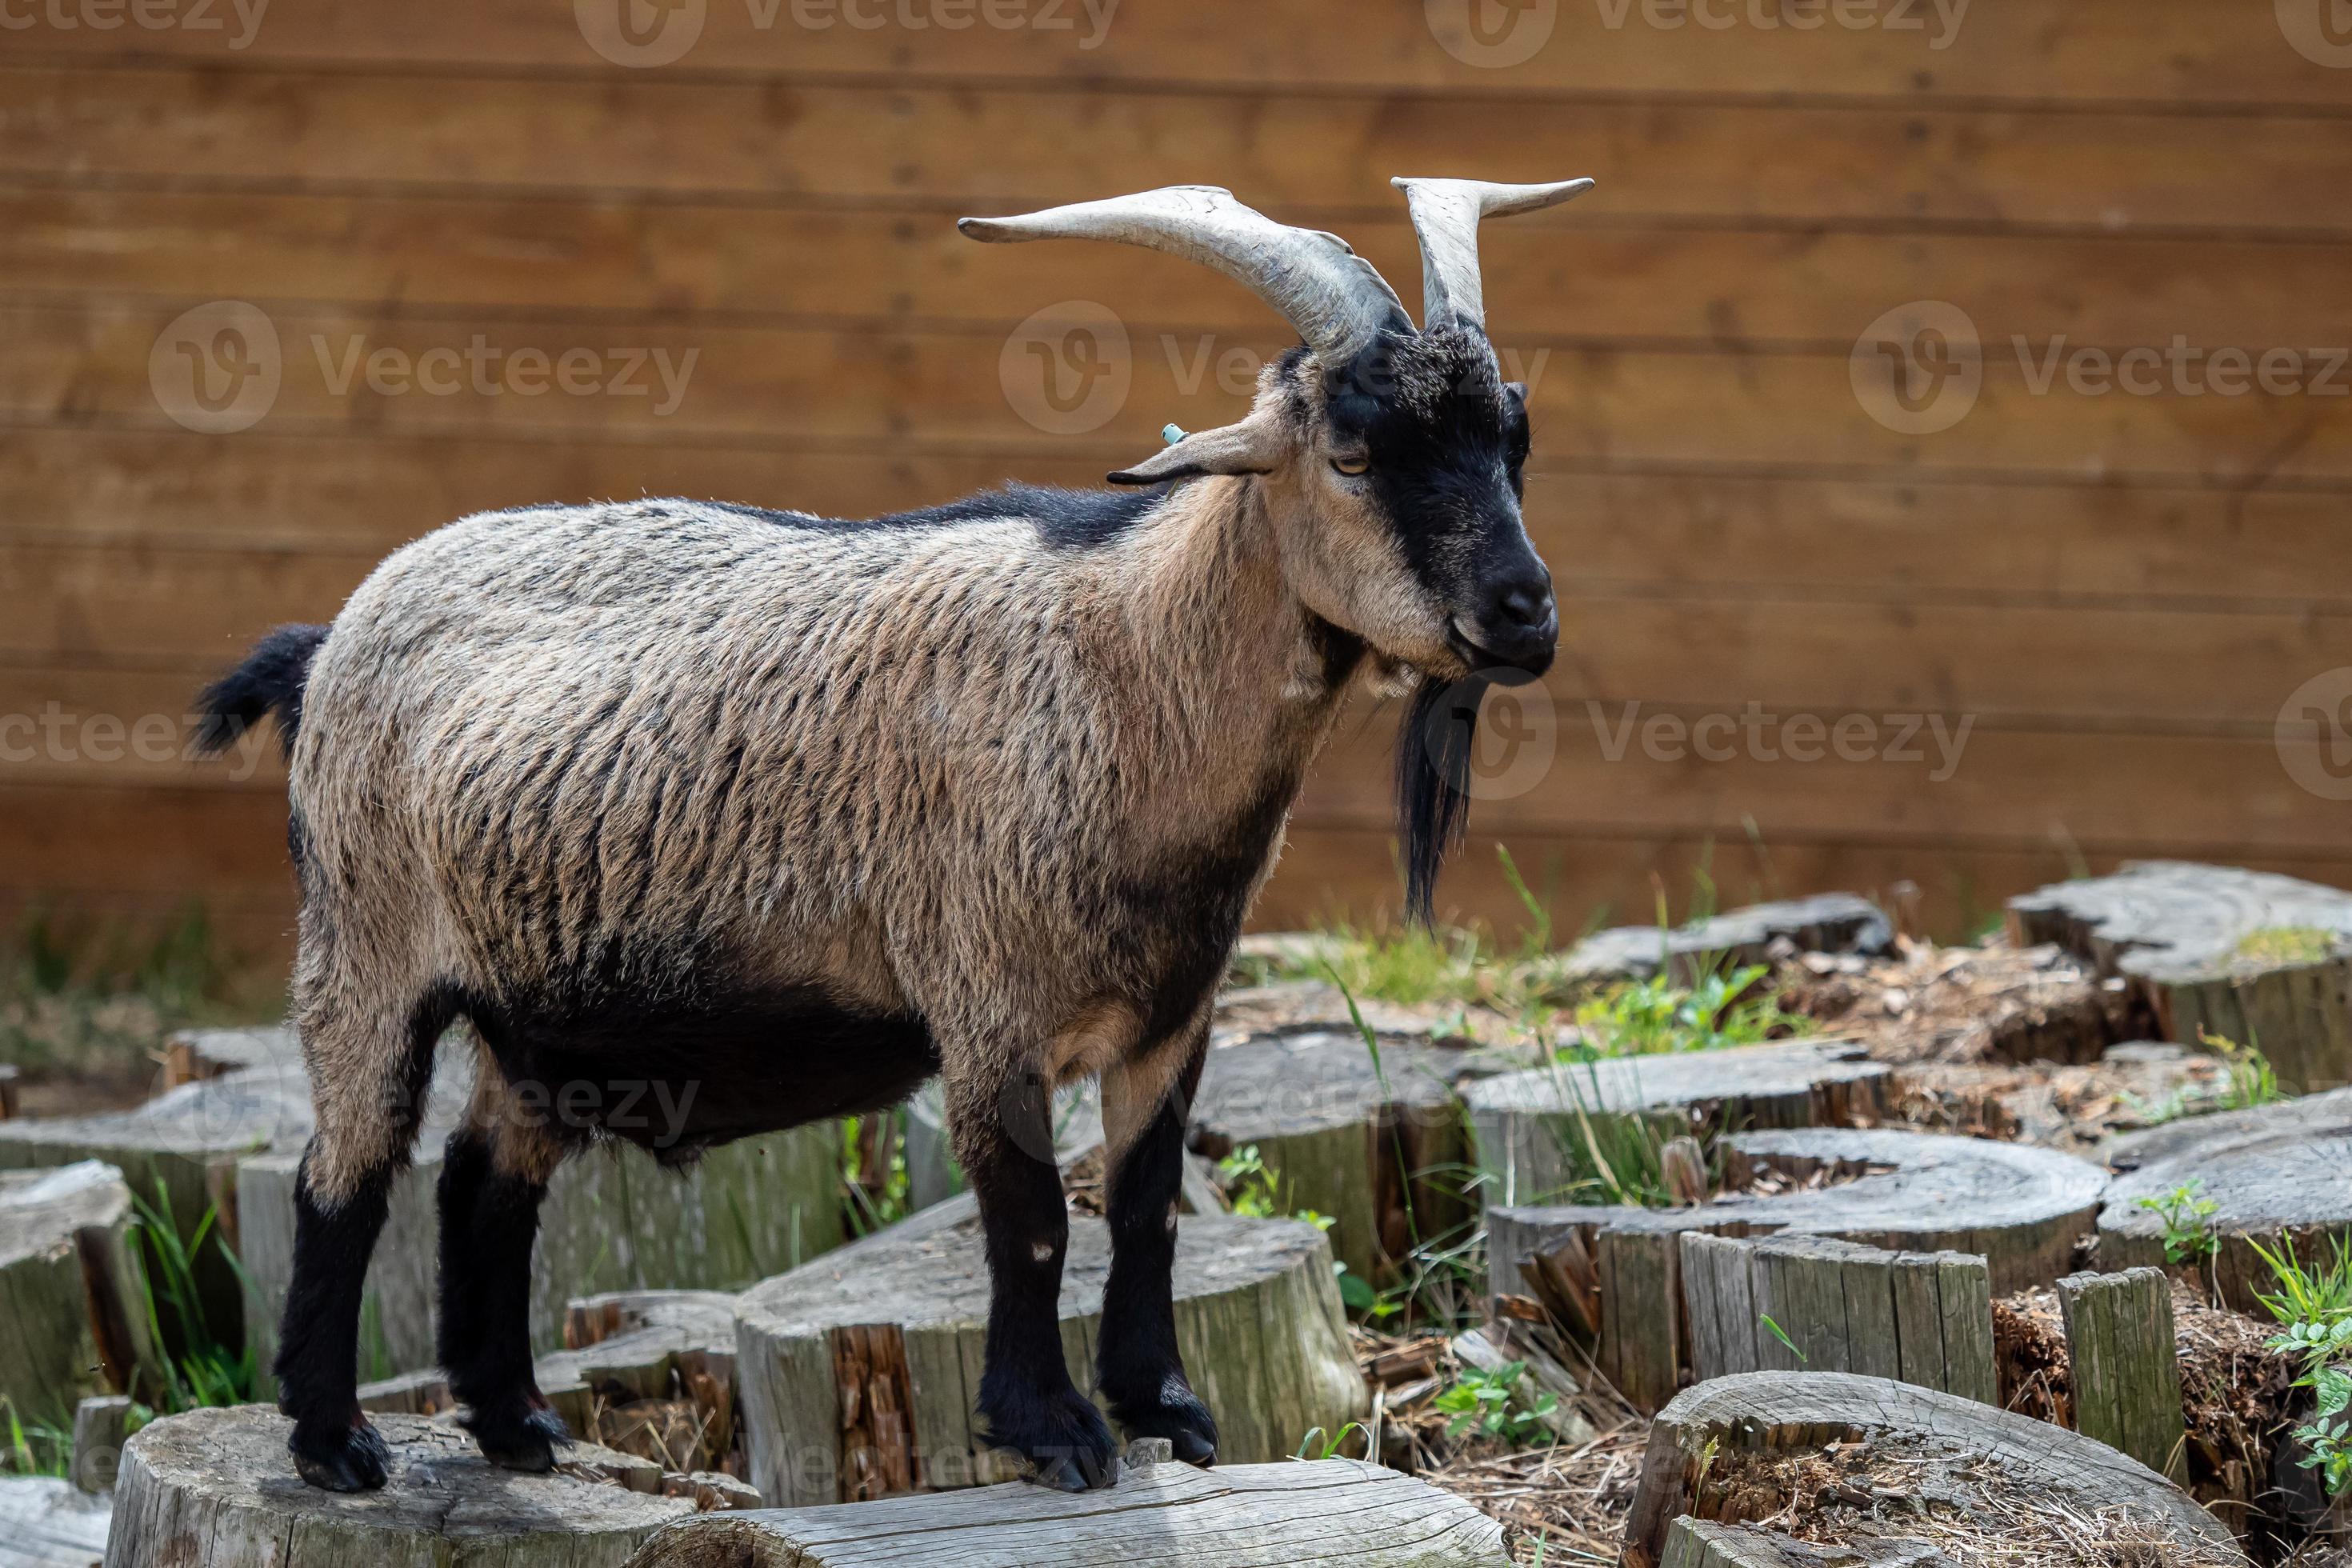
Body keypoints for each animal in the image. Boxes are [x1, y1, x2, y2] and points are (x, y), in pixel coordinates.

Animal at [194, 176, 1587, 1493]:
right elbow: (1034, 1216)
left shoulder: (1175, 1011)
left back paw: (518, 1426)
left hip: (544, 1019)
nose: (1524, 612)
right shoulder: (984, 997)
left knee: (483, 1180)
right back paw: (334, 1443)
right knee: (344, 1176)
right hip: (363, 944)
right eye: (1352, 455)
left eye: (1515, 436)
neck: (1121, 667)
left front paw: (1168, 1410)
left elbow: (1146, 1209)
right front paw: (1053, 1432)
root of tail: (324, 645)